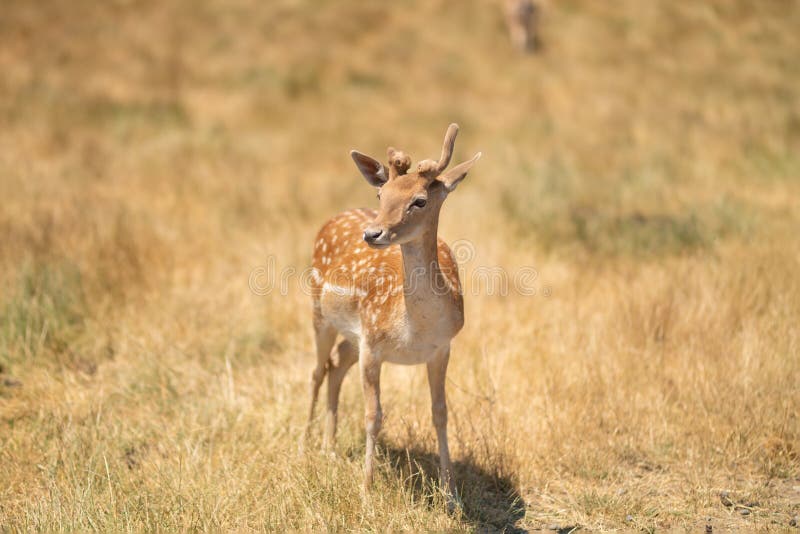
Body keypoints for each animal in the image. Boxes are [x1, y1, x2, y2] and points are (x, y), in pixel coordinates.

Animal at [305, 124, 481, 506]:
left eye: (420, 200)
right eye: (380, 195)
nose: (373, 233)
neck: (414, 329)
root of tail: (333, 218)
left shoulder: (442, 347)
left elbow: (440, 413)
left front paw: (451, 495)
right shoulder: (373, 345)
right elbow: (374, 416)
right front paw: (366, 493)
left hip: (352, 336)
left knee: (336, 363)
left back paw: (329, 448)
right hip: (318, 311)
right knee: (316, 370)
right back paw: (303, 445)